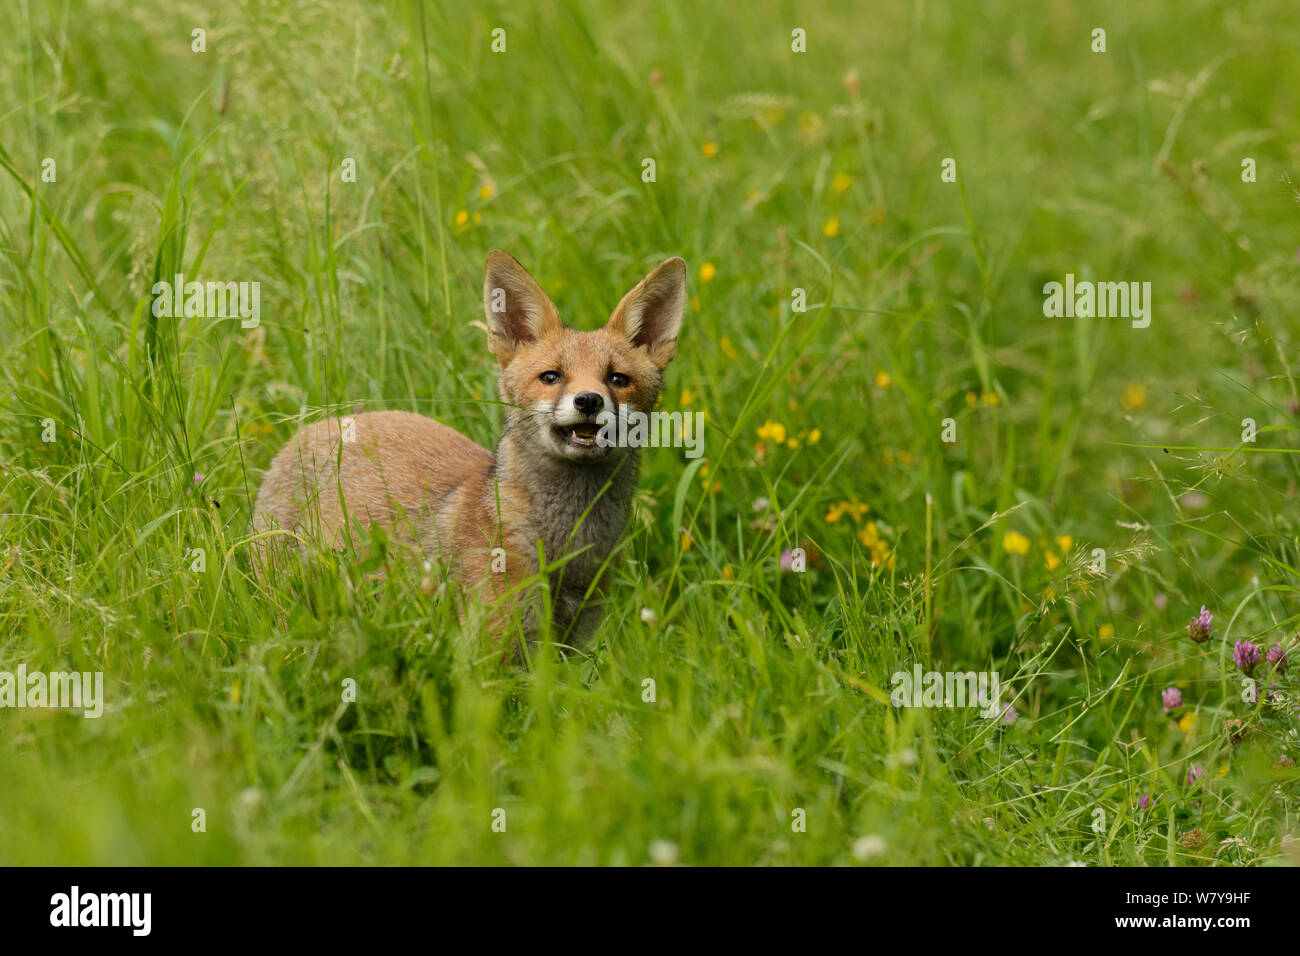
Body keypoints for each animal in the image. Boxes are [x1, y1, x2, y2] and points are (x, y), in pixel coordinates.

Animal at [251, 251, 687, 652]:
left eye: (617, 379)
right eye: (551, 377)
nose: (589, 401)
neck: (567, 551)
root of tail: (316, 425)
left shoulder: (575, 643)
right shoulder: (490, 645)